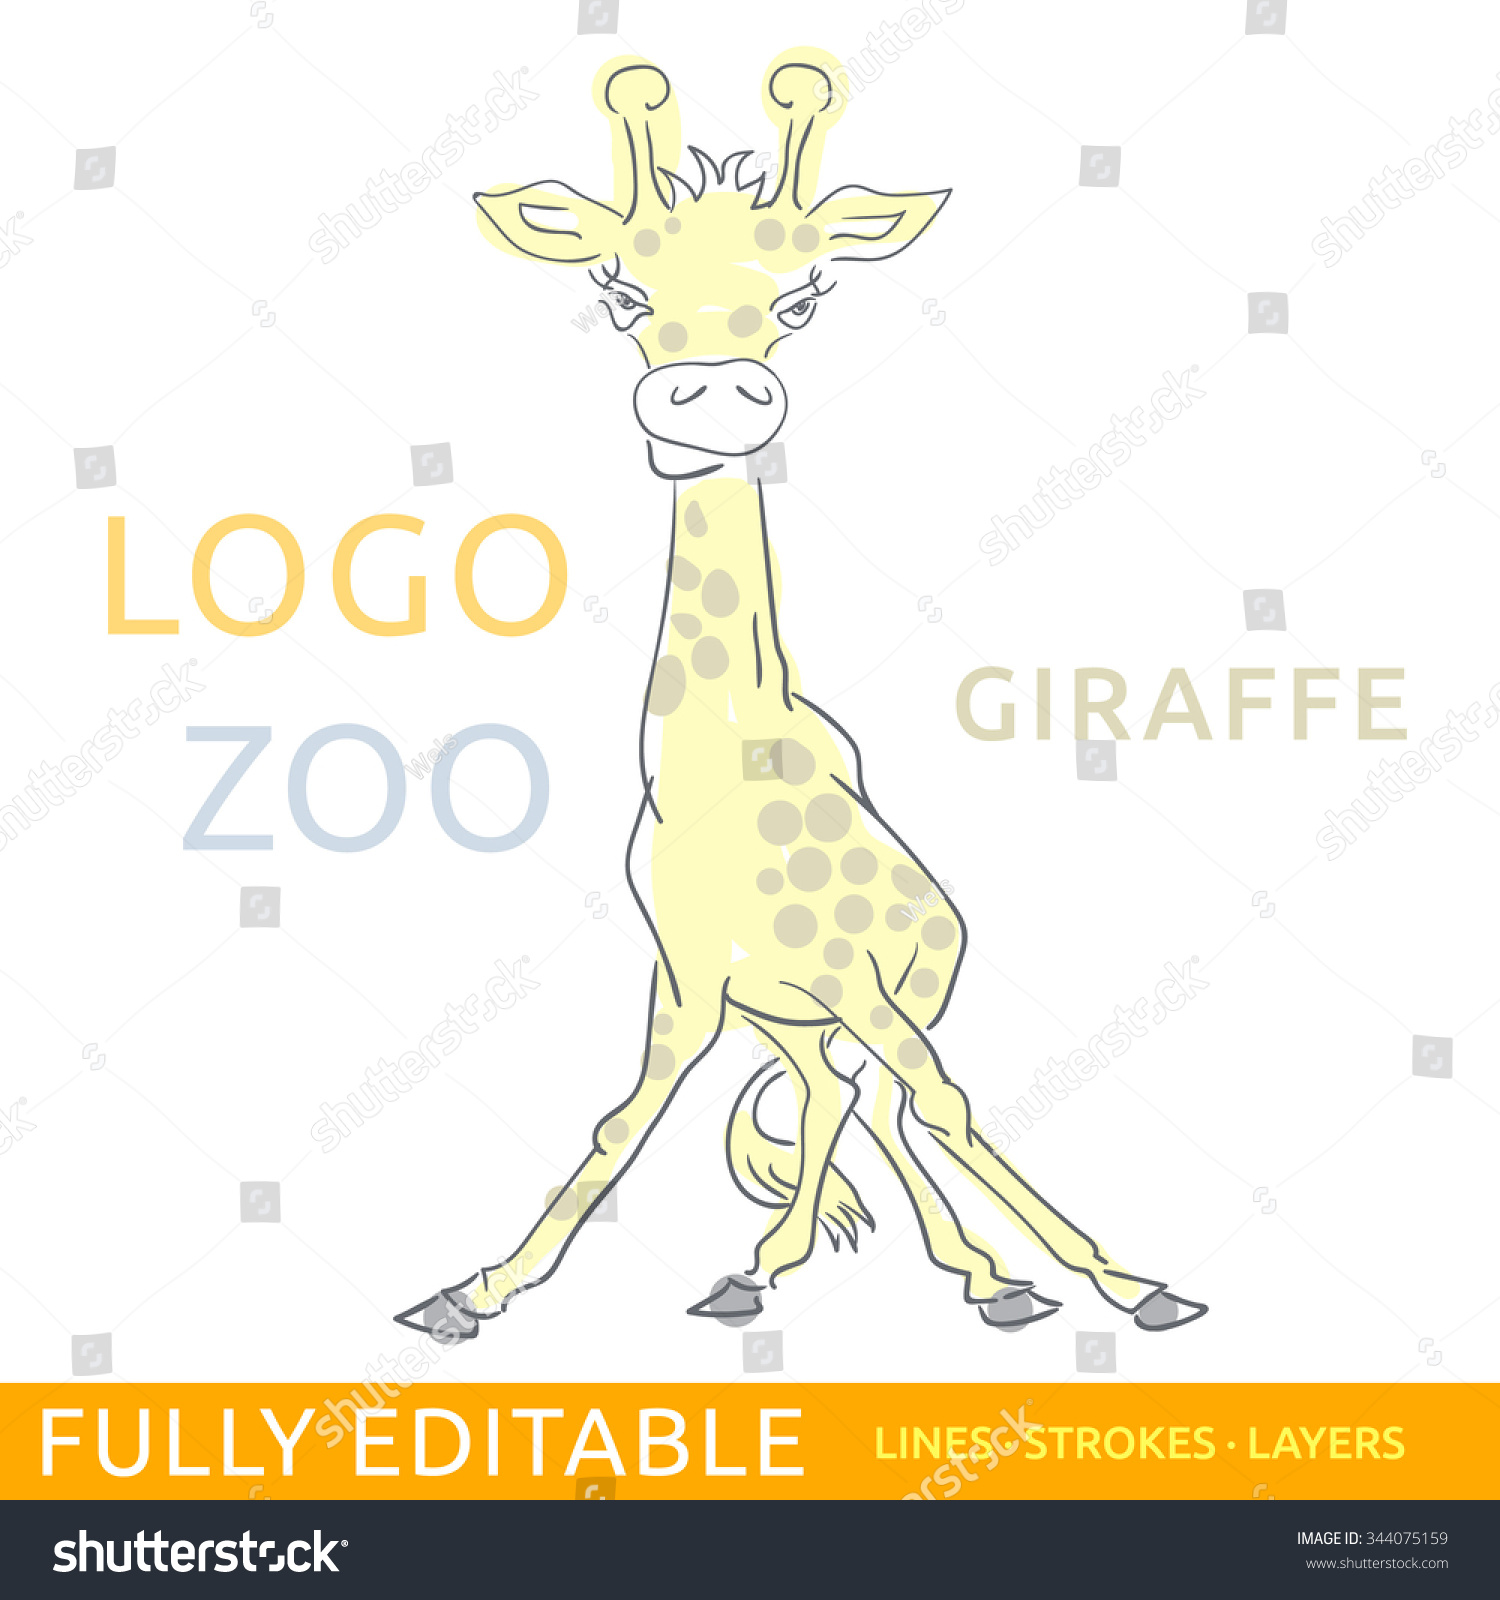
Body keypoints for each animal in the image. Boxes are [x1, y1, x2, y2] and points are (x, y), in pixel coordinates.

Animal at [396, 50, 1207, 1343]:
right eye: (620, 295)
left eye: (801, 300)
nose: (715, 393)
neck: (720, 770)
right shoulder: (687, 982)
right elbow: (622, 1121)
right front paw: (473, 1289)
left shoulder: (849, 983)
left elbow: (949, 1104)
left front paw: (1136, 1284)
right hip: (783, 1013)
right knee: (841, 1095)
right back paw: (862, 1270)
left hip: (871, 997)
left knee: (879, 1099)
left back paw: (968, 1272)